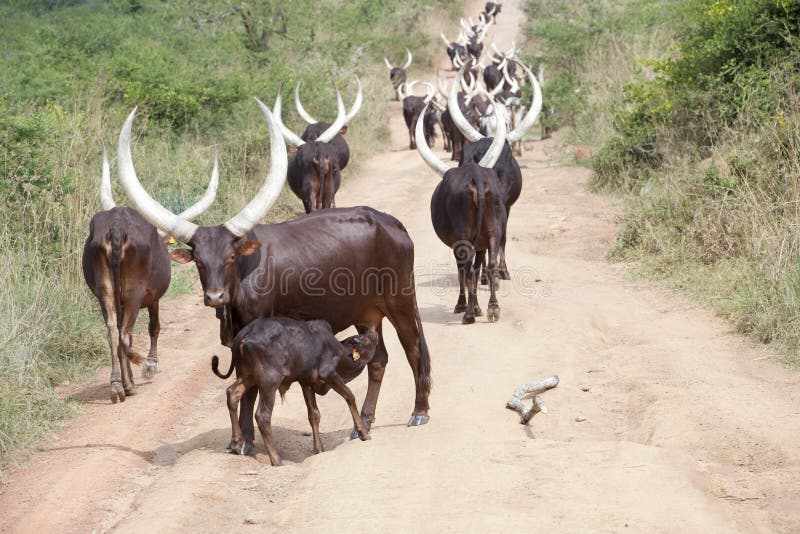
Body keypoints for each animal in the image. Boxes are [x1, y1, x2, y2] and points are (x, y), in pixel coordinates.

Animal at [82, 149, 218, 402]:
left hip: (105, 292)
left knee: (113, 332)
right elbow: (154, 327)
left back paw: (117, 385)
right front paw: (150, 365)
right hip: (134, 293)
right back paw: (130, 381)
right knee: (125, 334)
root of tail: (117, 225)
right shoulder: (153, 298)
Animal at [220, 317, 379, 465]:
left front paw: (319, 449)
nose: (374, 333)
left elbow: (314, 414)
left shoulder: (306, 382)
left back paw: (236, 443)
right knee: (262, 416)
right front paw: (363, 433)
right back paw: (276, 460)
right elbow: (350, 396)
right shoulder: (329, 374)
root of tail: (245, 333)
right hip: (269, 382)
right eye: (365, 339)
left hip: (248, 376)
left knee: (232, 394)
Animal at [416, 95, 508, 324]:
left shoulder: (457, 243)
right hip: (493, 231)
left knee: (466, 269)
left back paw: (468, 314)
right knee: (489, 265)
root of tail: (476, 175)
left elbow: (463, 272)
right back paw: (493, 309)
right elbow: (478, 267)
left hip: (463, 236)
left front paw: (464, 306)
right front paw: (477, 308)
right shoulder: (481, 243)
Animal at [448, 61, 542, 283]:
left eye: (506, 122)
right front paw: (501, 271)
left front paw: (489, 273)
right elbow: (501, 237)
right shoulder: (504, 205)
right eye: (481, 125)